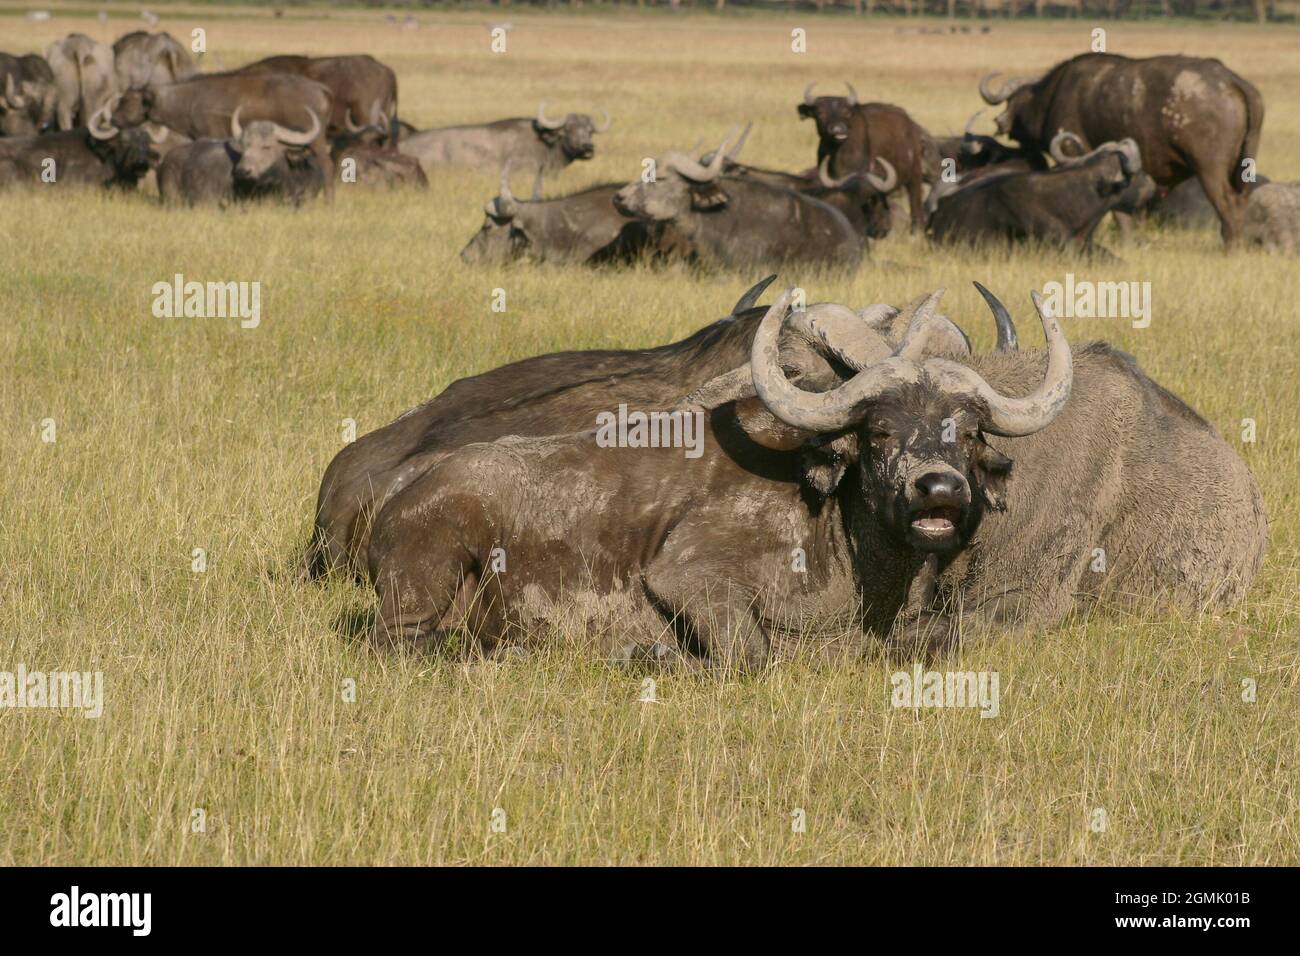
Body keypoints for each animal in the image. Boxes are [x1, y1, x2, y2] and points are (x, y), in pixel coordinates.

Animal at [978, 53, 1264, 245]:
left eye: (1013, 102)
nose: (1000, 121)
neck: (1052, 97)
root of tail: (1233, 81)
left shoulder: (1074, 153)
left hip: (1210, 169)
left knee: (1228, 206)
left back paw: (1230, 247)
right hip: (1240, 169)